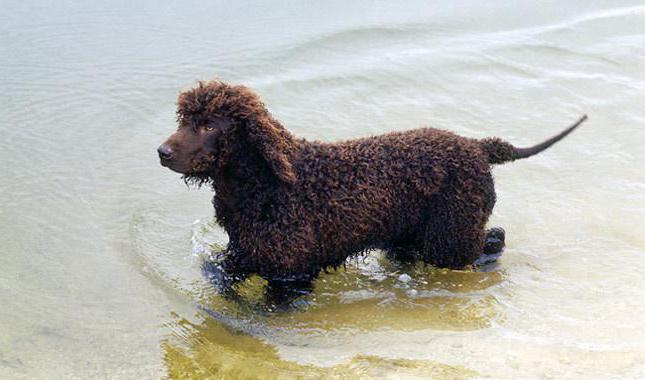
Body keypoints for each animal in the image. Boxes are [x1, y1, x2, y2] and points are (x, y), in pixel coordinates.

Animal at [158, 81, 588, 288]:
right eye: (184, 120)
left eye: (209, 126)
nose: (161, 151)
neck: (262, 186)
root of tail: (476, 145)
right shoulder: (244, 253)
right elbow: (219, 274)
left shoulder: (291, 273)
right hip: (415, 236)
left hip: (450, 235)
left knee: (492, 240)